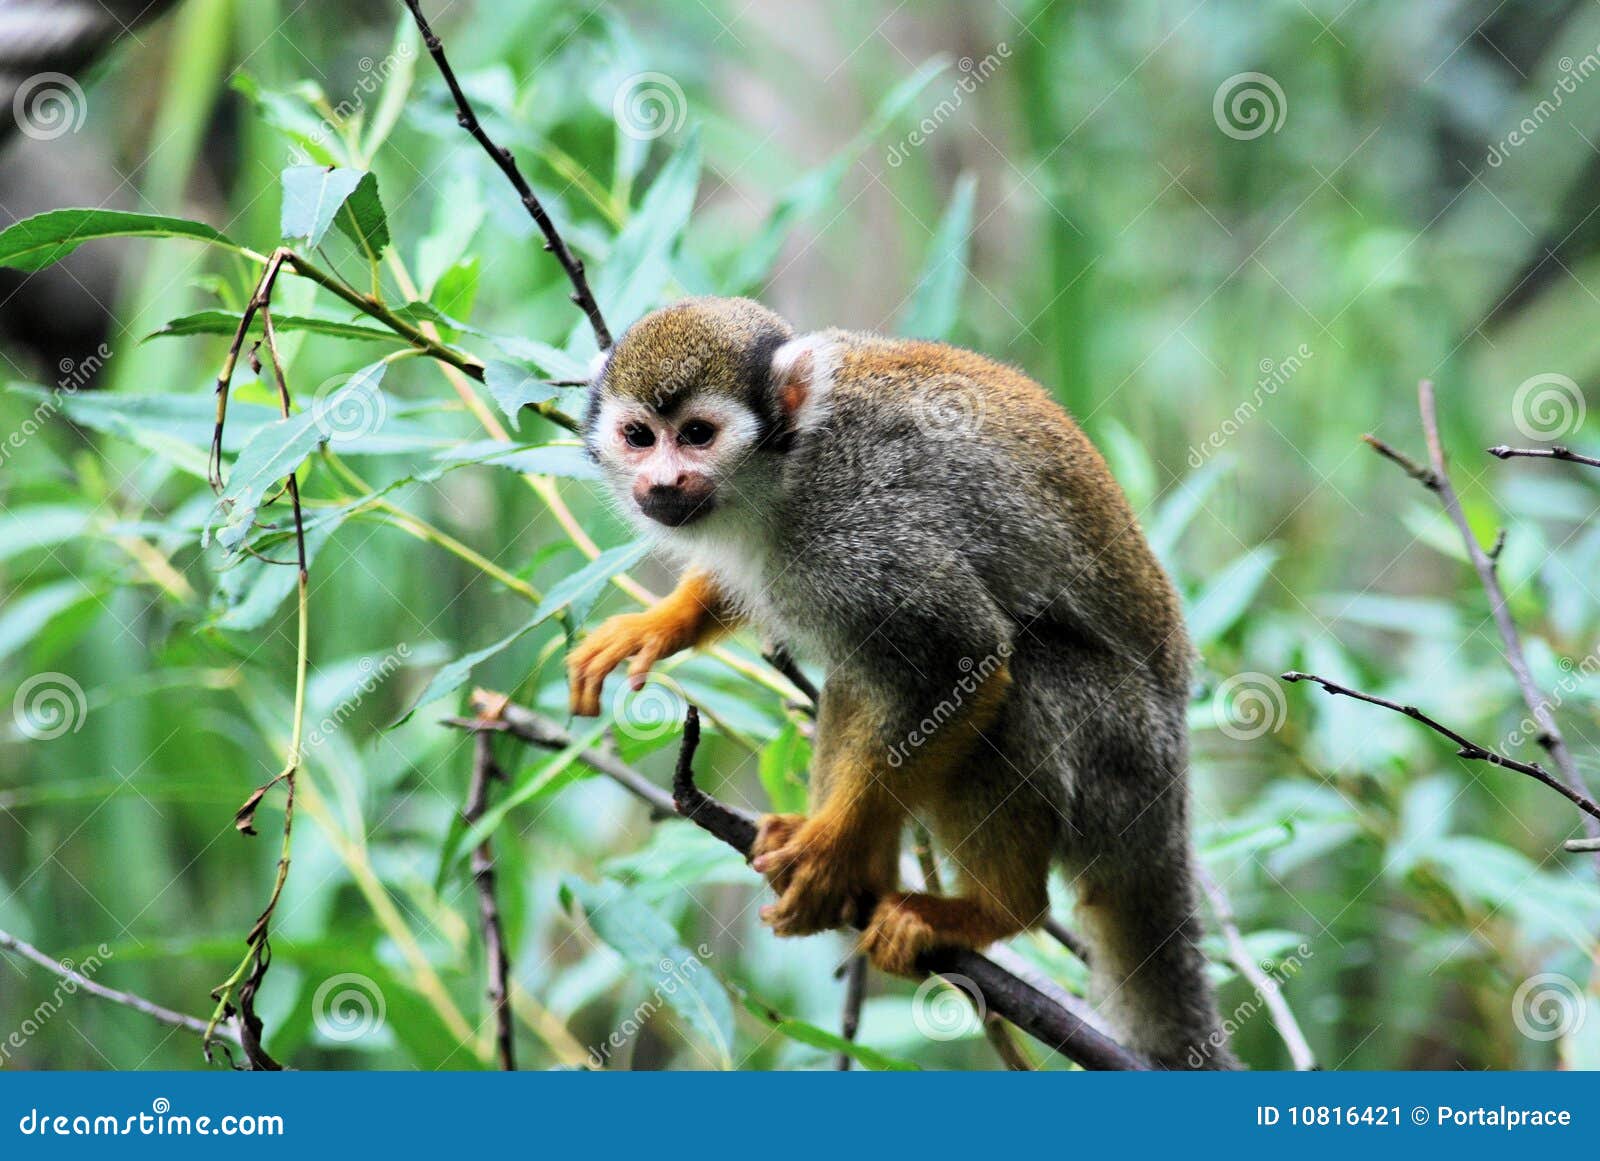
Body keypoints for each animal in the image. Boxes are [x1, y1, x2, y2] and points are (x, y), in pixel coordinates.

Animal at [567, 296, 1237, 1069]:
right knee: (860, 674)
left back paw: (993, 908)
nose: (663, 483)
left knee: (1019, 682)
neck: (785, 474)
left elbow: (966, 660)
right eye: (640, 437)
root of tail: (1171, 800)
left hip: (1123, 760)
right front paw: (663, 622)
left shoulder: (865, 533)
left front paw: (831, 851)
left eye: (698, 435)